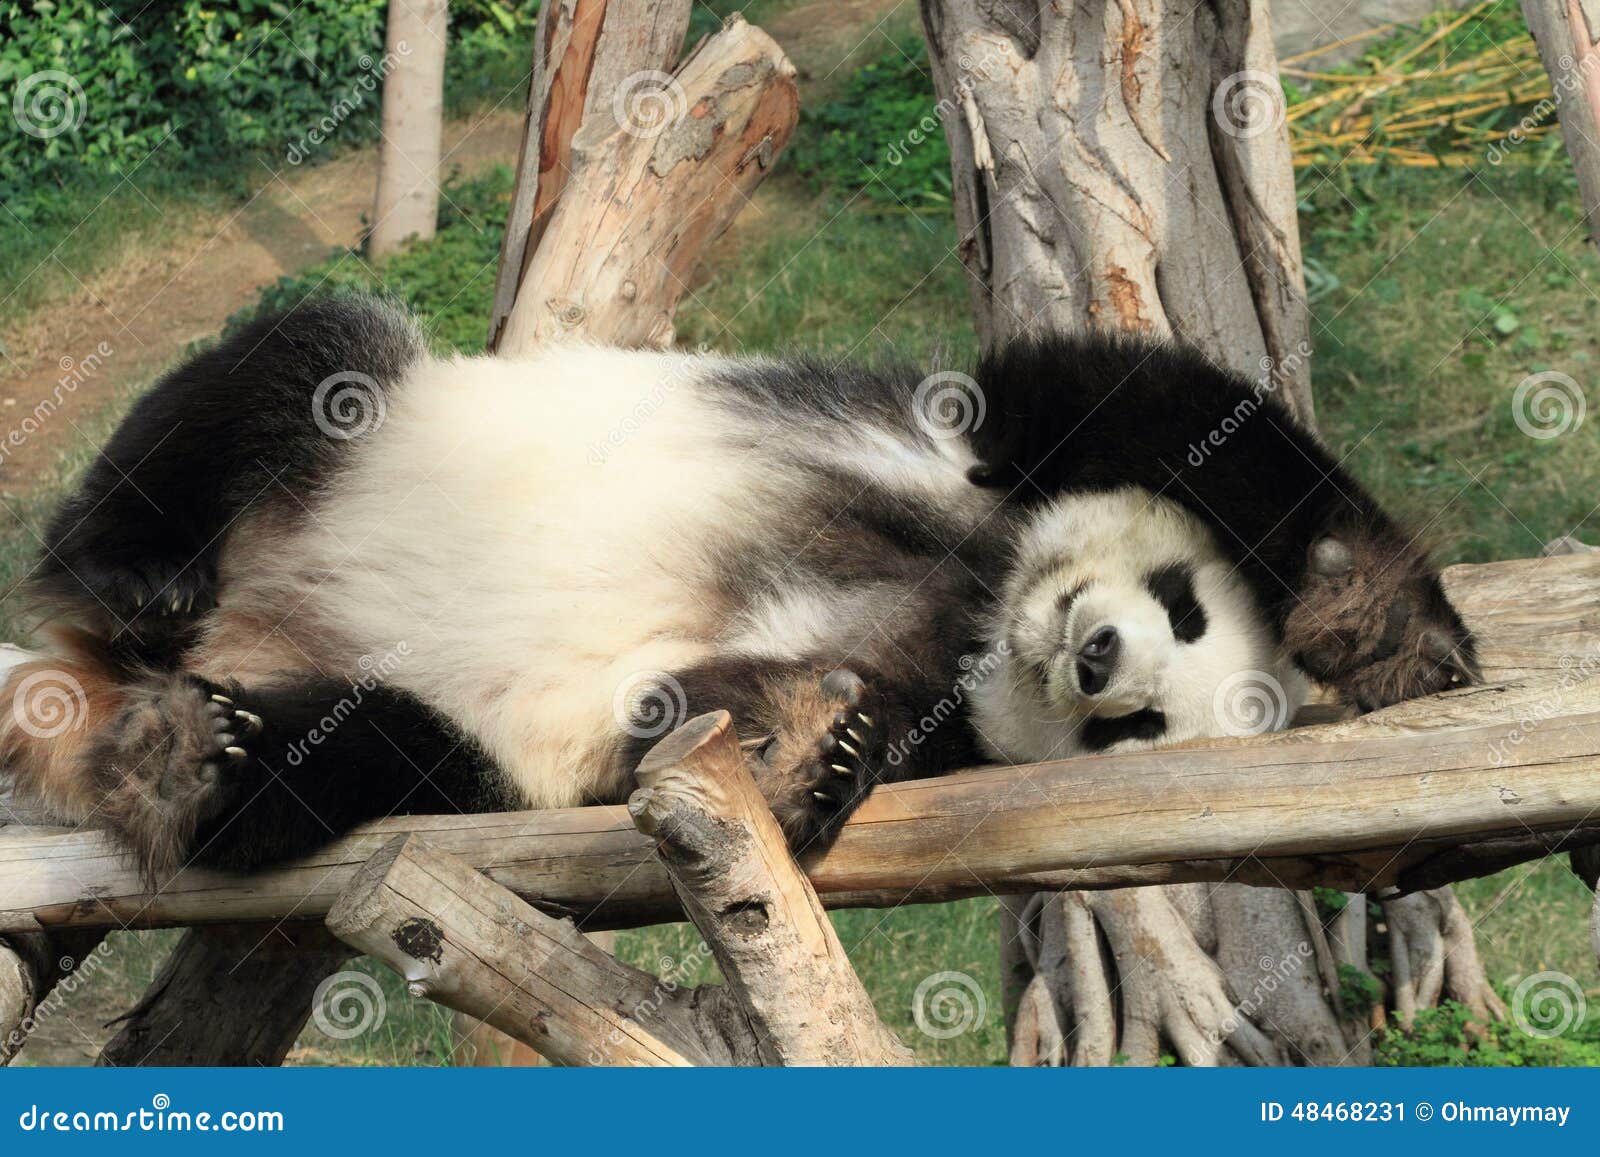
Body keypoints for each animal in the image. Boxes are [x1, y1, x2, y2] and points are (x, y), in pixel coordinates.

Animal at [0, 296, 1476, 880]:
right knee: (281, 372)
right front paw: (1385, 623)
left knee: (383, 752)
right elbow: (1148, 403)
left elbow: (695, 704)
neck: (975, 597)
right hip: (356, 440)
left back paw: (186, 761)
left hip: (424, 744)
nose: (1099, 660)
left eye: (1142, 732)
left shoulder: (925, 686)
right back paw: (138, 574)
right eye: (1175, 601)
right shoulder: (950, 436)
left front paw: (812, 749)